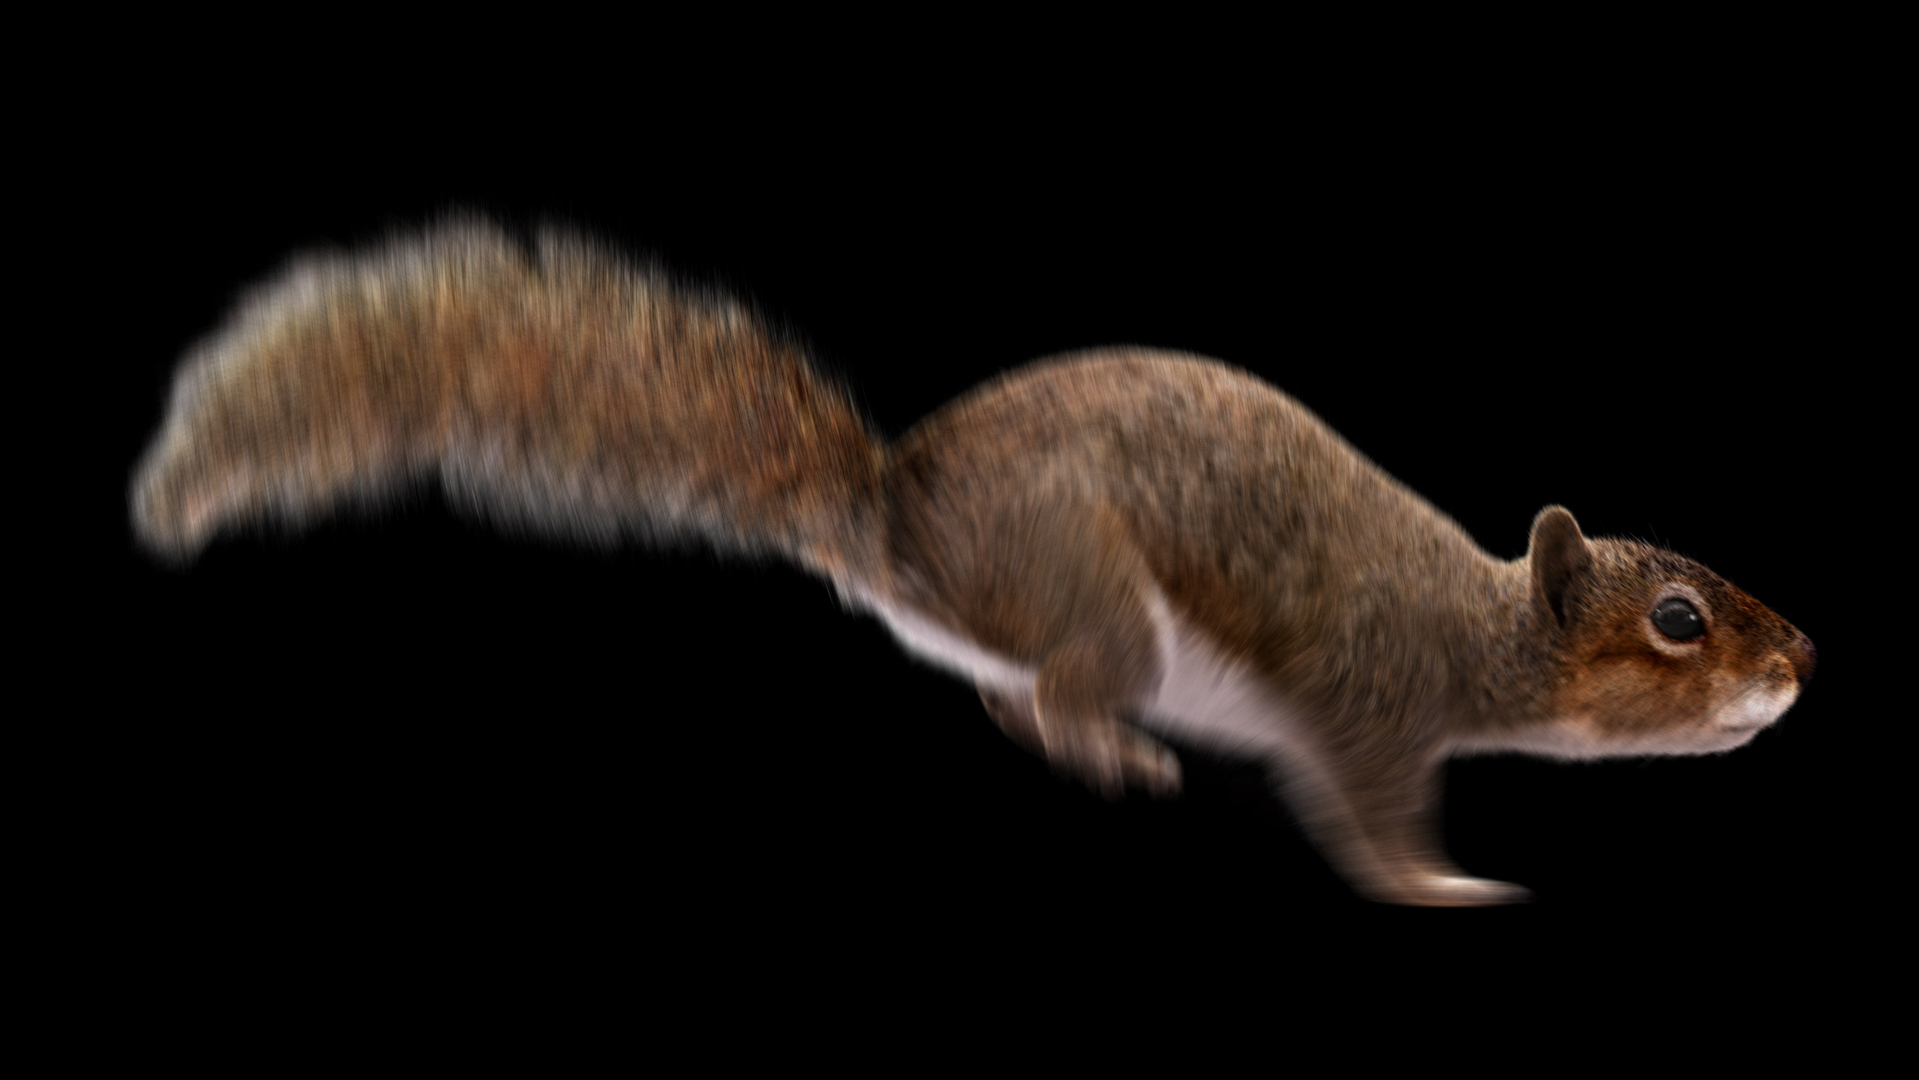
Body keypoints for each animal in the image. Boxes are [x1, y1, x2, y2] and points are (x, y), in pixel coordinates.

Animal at [130, 218, 1816, 907]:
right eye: (1677, 618)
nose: (1803, 661)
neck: (1466, 628)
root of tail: (893, 516)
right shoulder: (1364, 714)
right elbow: (1377, 827)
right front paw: (1451, 888)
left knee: (1010, 700)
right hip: (1091, 596)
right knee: (1066, 686)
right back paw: (1121, 756)